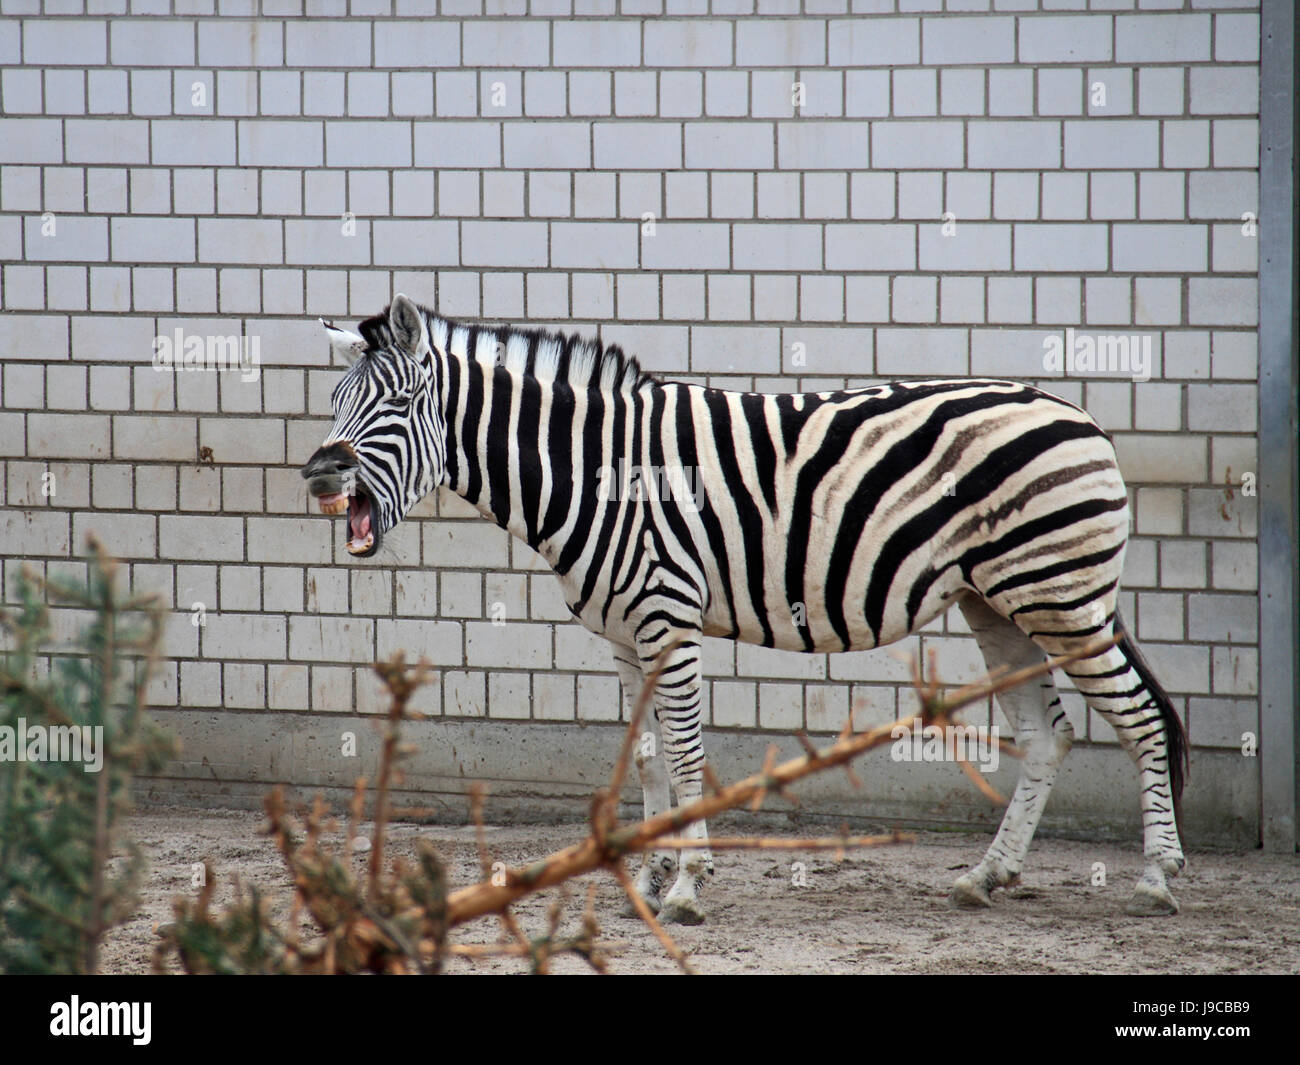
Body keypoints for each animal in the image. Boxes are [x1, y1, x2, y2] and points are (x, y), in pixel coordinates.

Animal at [300, 294, 1188, 924]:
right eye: (337, 399)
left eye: (393, 406)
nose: (317, 474)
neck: (595, 469)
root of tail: (1077, 415)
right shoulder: (623, 634)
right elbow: (649, 755)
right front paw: (648, 869)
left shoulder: (668, 615)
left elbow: (688, 751)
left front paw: (688, 884)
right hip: (998, 602)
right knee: (1047, 734)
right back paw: (986, 875)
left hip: (1062, 595)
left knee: (1140, 717)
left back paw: (1155, 878)